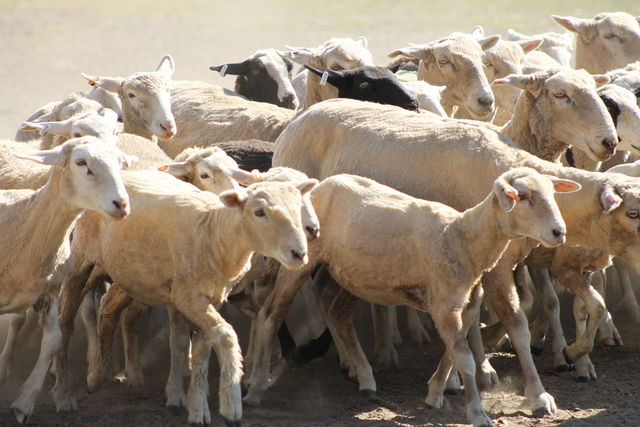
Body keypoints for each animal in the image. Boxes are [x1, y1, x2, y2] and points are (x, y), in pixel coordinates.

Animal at [0, 137, 133, 422]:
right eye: (81, 162)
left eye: (120, 163)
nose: (122, 204)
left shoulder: (49, 292)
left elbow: (54, 339)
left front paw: (24, 403)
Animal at [52, 169, 317, 426]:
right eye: (259, 212)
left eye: (297, 207)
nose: (299, 253)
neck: (216, 233)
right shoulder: (187, 297)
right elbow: (225, 335)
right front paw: (230, 406)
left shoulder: (212, 298)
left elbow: (202, 349)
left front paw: (198, 408)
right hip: (80, 260)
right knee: (65, 323)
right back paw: (64, 394)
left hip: (128, 271)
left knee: (107, 308)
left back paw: (101, 372)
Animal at [256, 97, 640, 416]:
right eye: (632, 212)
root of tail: (301, 115)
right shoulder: (494, 267)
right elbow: (516, 325)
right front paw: (536, 391)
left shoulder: (487, 268)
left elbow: (482, 317)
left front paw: (452, 378)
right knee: (277, 307)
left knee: (330, 300)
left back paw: (357, 370)